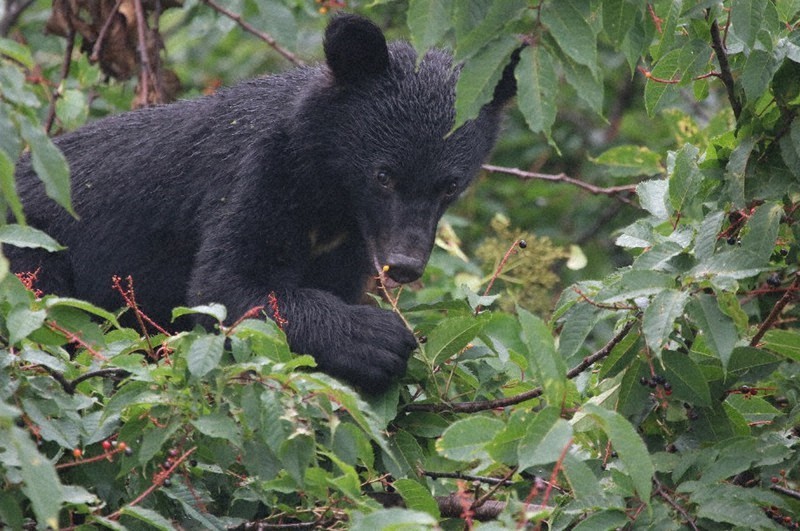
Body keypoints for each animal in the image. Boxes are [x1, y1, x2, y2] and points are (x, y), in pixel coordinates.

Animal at [9, 14, 518, 393]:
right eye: (384, 175)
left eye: (449, 185)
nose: (405, 264)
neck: (331, 191)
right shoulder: (259, 173)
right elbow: (228, 284)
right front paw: (377, 339)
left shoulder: (354, 237)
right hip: (32, 253)